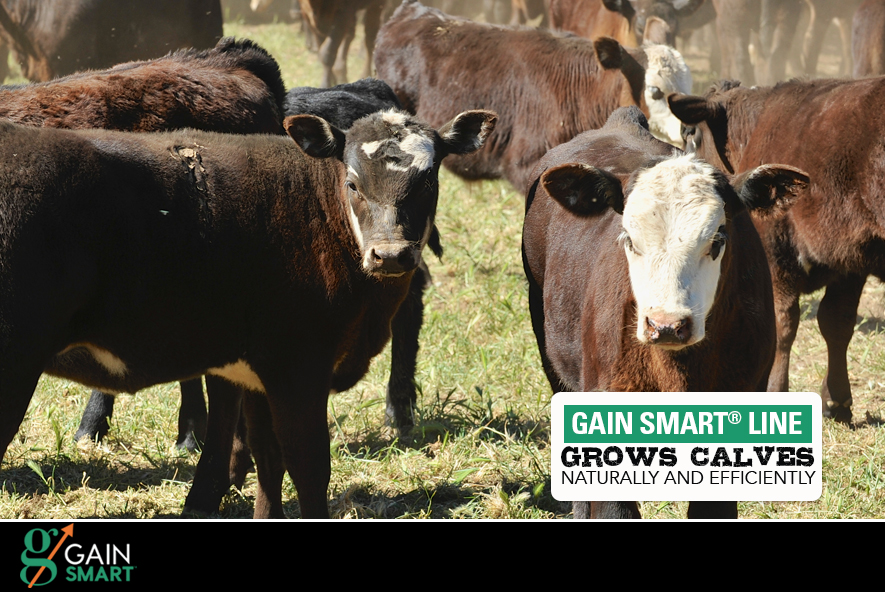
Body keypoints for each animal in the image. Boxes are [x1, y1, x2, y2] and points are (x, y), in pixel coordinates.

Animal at [0, 107, 497, 519]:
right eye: (354, 183)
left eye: (428, 182)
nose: (391, 255)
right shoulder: (298, 369)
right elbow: (308, 467)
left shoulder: (253, 373)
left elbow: (267, 457)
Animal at [667, 78, 885, 424]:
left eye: (690, 133)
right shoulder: (848, 258)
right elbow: (836, 323)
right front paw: (836, 401)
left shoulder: (774, 253)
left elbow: (782, 324)